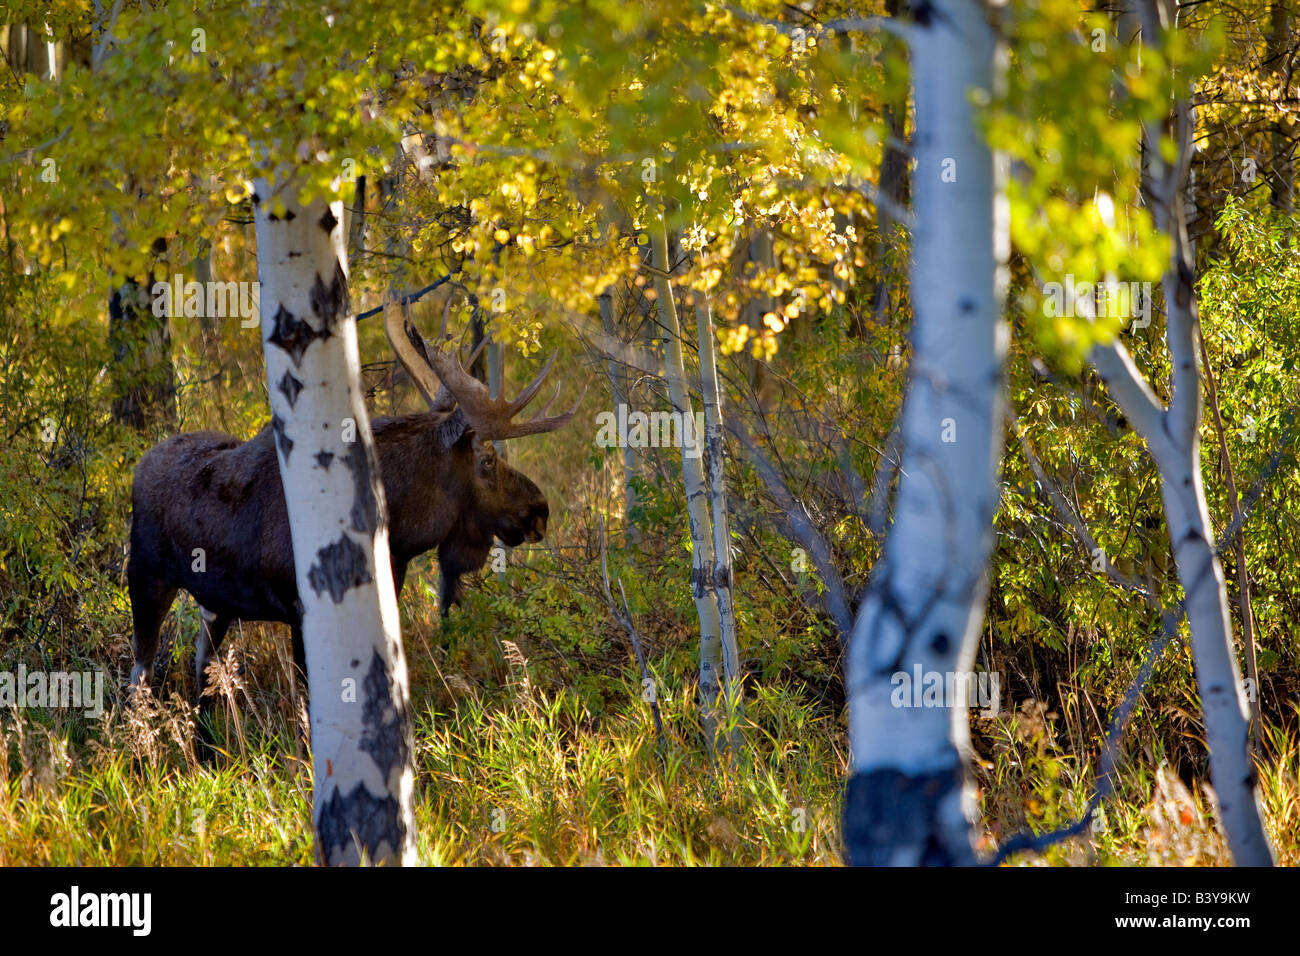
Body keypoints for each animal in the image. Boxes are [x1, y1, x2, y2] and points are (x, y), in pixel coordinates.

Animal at [126, 301, 581, 734]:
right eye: (486, 460)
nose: (540, 509)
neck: (392, 534)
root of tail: (140, 462)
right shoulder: (301, 607)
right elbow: (311, 704)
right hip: (146, 580)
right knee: (139, 675)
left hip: (214, 605)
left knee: (202, 675)